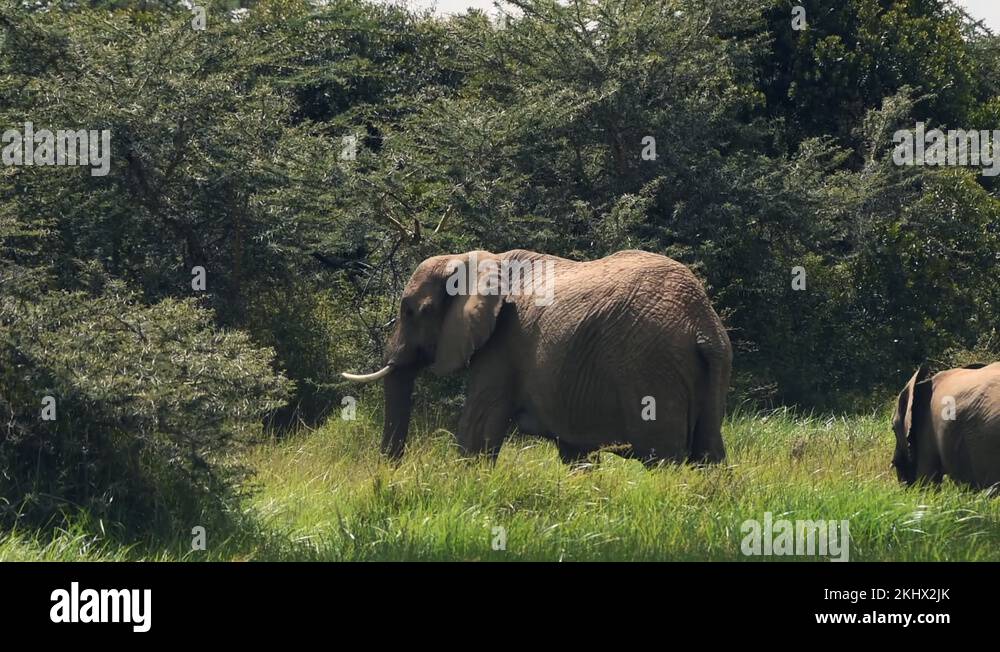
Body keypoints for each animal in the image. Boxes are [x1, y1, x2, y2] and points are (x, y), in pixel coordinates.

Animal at [342, 249, 732, 466]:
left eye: (410, 311)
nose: (388, 475)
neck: (474, 259)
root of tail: (700, 321)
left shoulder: (504, 342)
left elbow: (477, 429)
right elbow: (576, 452)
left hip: (650, 370)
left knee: (664, 458)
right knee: (710, 456)